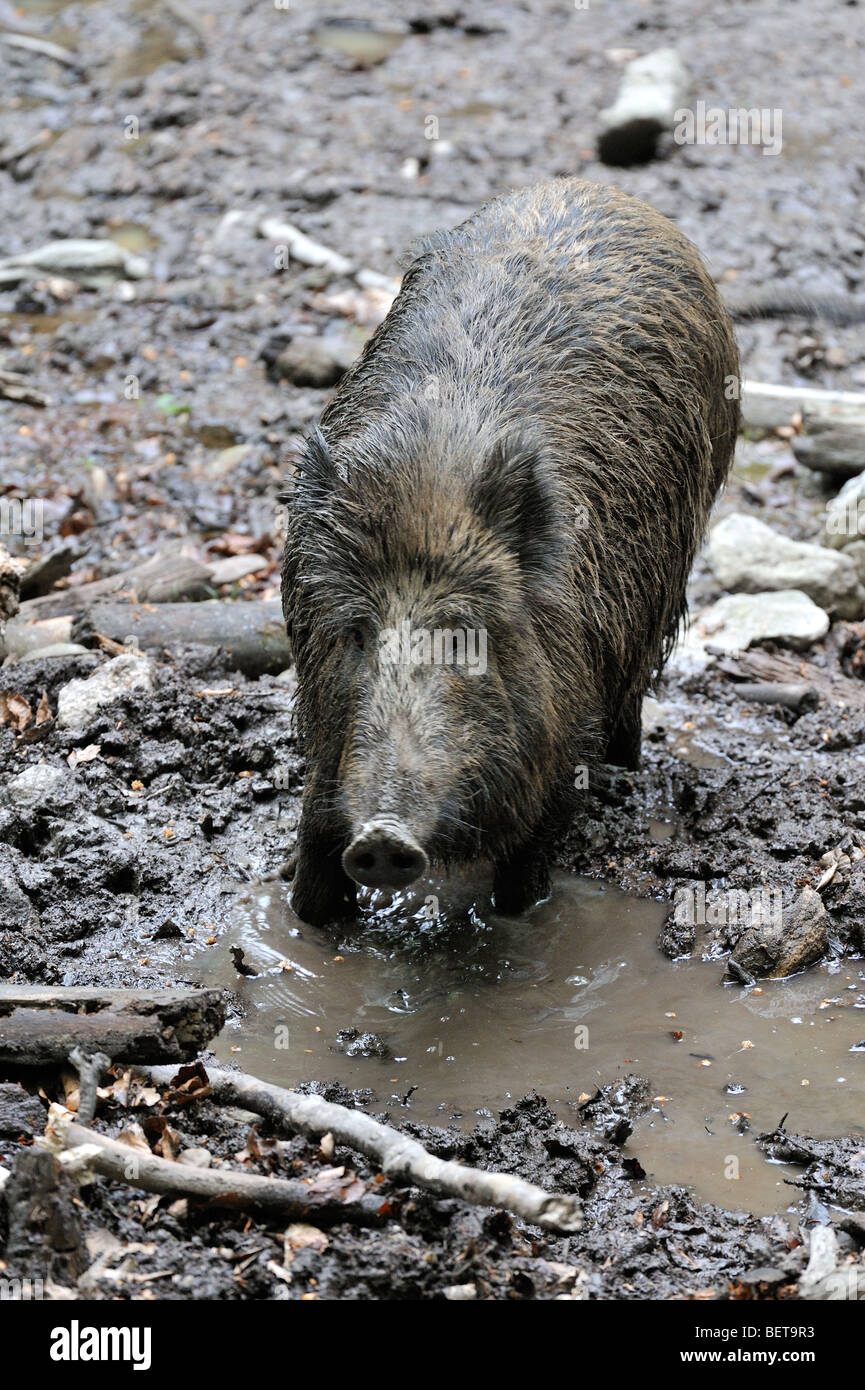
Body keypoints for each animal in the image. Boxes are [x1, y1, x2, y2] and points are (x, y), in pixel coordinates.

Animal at [281, 178, 740, 926]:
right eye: (354, 633)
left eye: (465, 636)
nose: (382, 838)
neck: (428, 489)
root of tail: (601, 188)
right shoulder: (327, 753)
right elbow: (313, 874)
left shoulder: (562, 731)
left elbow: (525, 887)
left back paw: (628, 766)